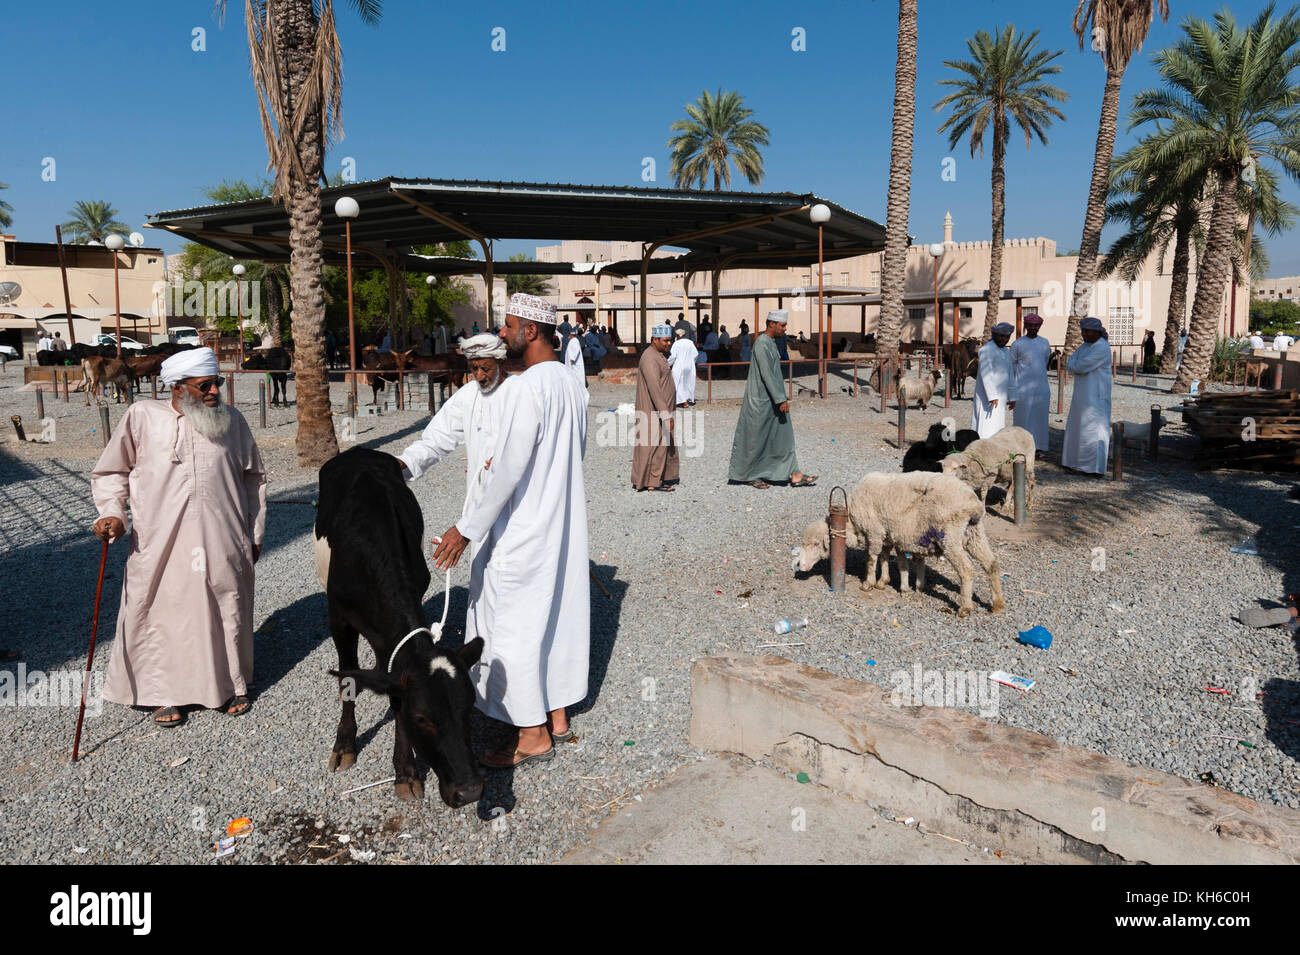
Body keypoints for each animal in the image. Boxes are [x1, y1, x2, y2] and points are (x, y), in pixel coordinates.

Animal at [314, 447, 485, 807]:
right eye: (421, 717)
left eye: (469, 707)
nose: (470, 791)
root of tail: (357, 451)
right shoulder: (338, 616)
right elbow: (348, 677)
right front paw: (344, 745)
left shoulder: (395, 633)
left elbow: (394, 693)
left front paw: (405, 772)